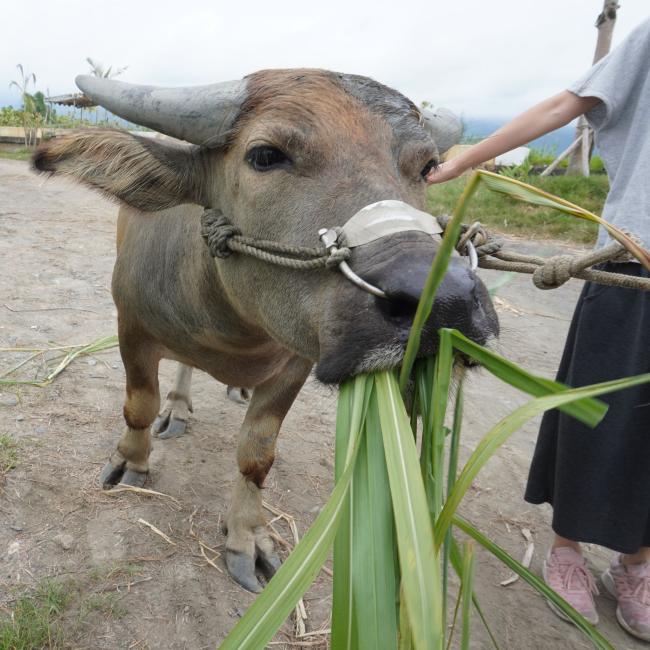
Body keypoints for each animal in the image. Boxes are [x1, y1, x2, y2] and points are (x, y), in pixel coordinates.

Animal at [33, 69, 499, 593]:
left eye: (428, 166)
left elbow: (256, 454)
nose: (444, 303)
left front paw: (246, 538)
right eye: (265, 156)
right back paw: (178, 407)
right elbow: (138, 406)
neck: (231, 322)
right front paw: (131, 461)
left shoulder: (295, 364)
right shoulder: (131, 328)